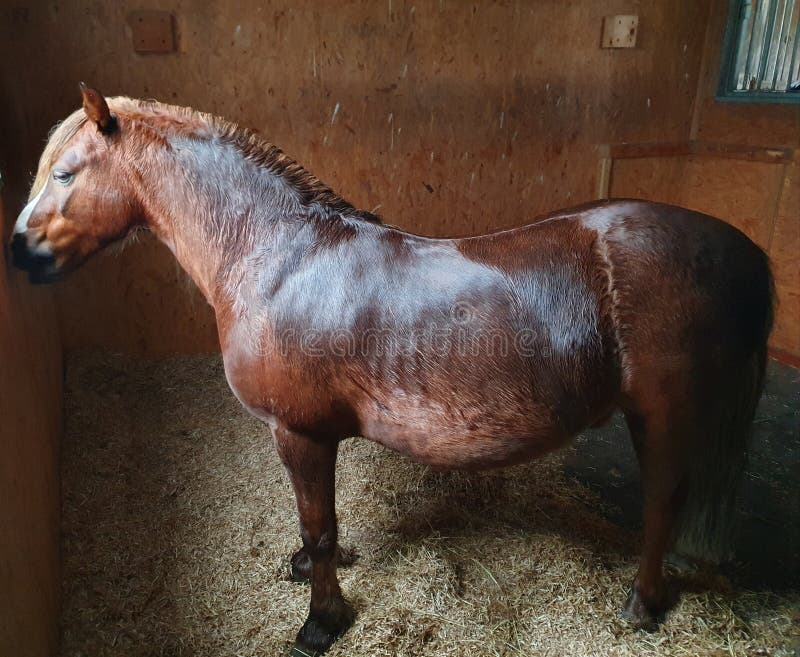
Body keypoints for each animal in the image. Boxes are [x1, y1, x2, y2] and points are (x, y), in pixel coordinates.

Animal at [10, 84, 774, 655]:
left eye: (65, 173)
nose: (20, 254)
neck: (279, 257)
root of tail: (741, 248)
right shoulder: (306, 436)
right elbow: (318, 521)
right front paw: (308, 577)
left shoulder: (300, 432)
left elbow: (319, 527)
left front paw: (321, 622)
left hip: (662, 415)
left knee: (664, 503)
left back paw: (642, 603)